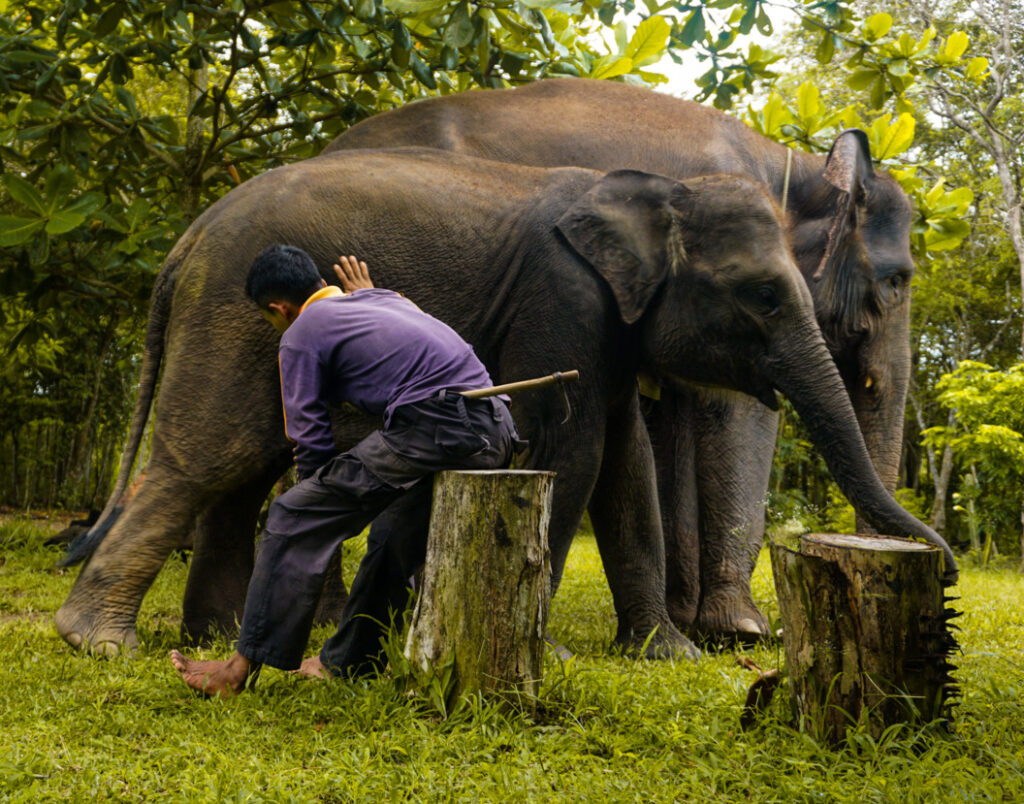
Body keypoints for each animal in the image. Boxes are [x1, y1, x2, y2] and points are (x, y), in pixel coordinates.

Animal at [54, 147, 954, 659]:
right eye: (765, 296)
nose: (943, 567)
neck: (660, 193)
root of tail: (184, 243)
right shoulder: (564, 302)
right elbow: (571, 453)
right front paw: (549, 654)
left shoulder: (606, 324)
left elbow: (624, 463)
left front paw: (667, 658)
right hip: (231, 320)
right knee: (204, 460)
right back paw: (99, 645)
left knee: (244, 468)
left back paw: (205, 635)